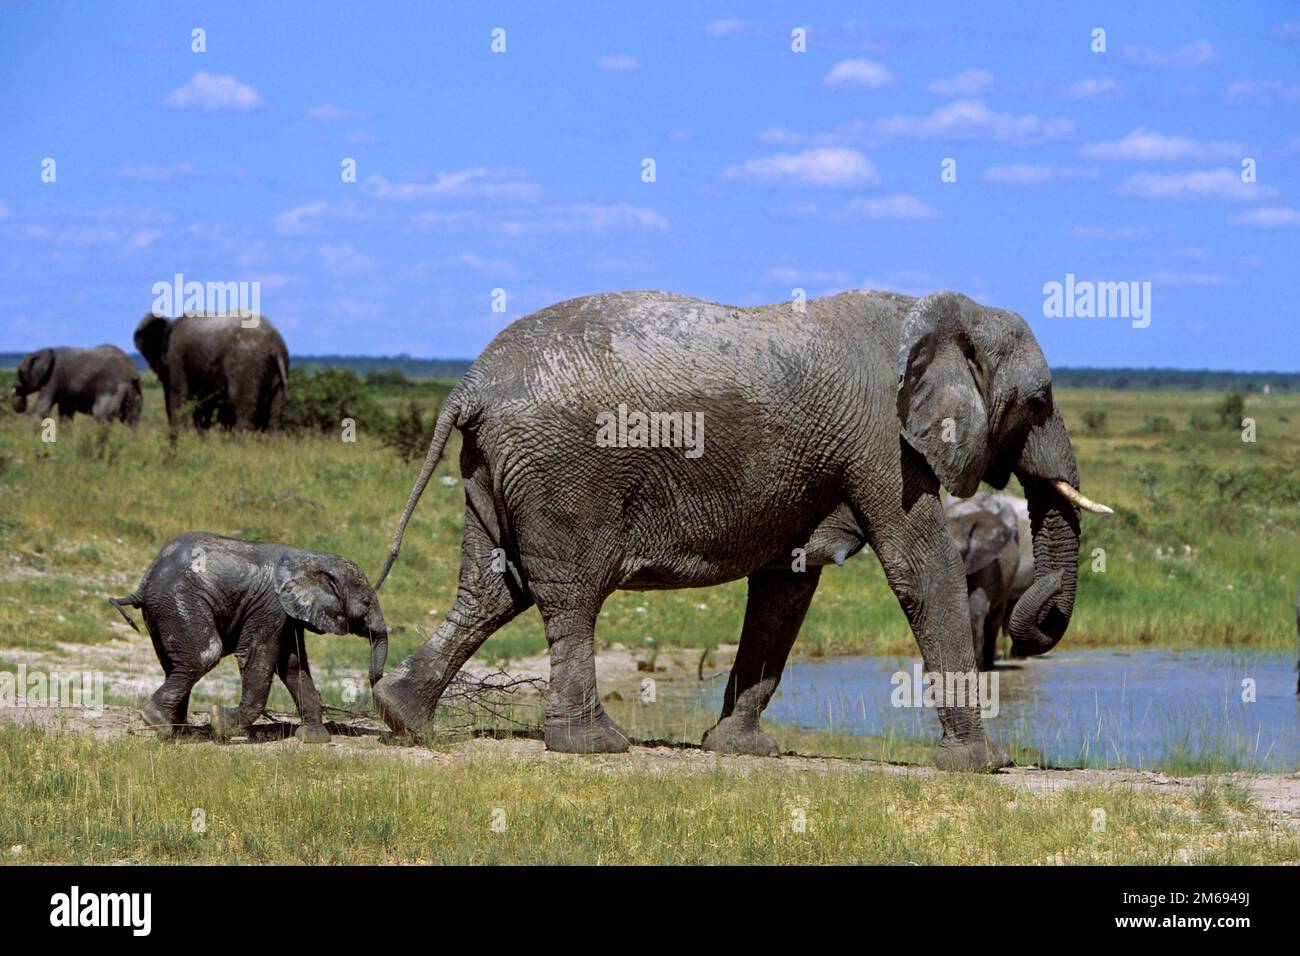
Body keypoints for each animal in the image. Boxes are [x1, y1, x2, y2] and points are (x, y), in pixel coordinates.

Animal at [10, 345, 142, 425]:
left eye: (20, 372)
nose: (19, 407)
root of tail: (132, 373)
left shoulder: (53, 379)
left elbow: (41, 409)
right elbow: (65, 415)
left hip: (111, 387)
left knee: (102, 415)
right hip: (134, 393)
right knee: (131, 421)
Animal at [110, 532, 388, 743]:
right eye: (366, 601)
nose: (376, 681)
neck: (308, 557)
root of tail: (144, 583)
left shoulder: (288, 612)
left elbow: (293, 665)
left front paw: (313, 738)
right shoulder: (270, 606)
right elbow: (257, 658)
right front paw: (219, 722)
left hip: (161, 611)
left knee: (175, 664)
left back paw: (174, 731)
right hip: (178, 600)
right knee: (205, 655)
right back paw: (154, 721)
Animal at [133, 312, 289, 430]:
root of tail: (274, 345)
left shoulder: (176, 357)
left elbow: (177, 396)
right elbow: (202, 404)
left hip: (246, 364)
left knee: (243, 407)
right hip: (277, 369)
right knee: (275, 411)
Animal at [944, 492, 1034, 670]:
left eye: (961, 553)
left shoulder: (985, 563)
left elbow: (976, 609)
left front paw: (976, 668)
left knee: (994, 619)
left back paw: (988, 666)